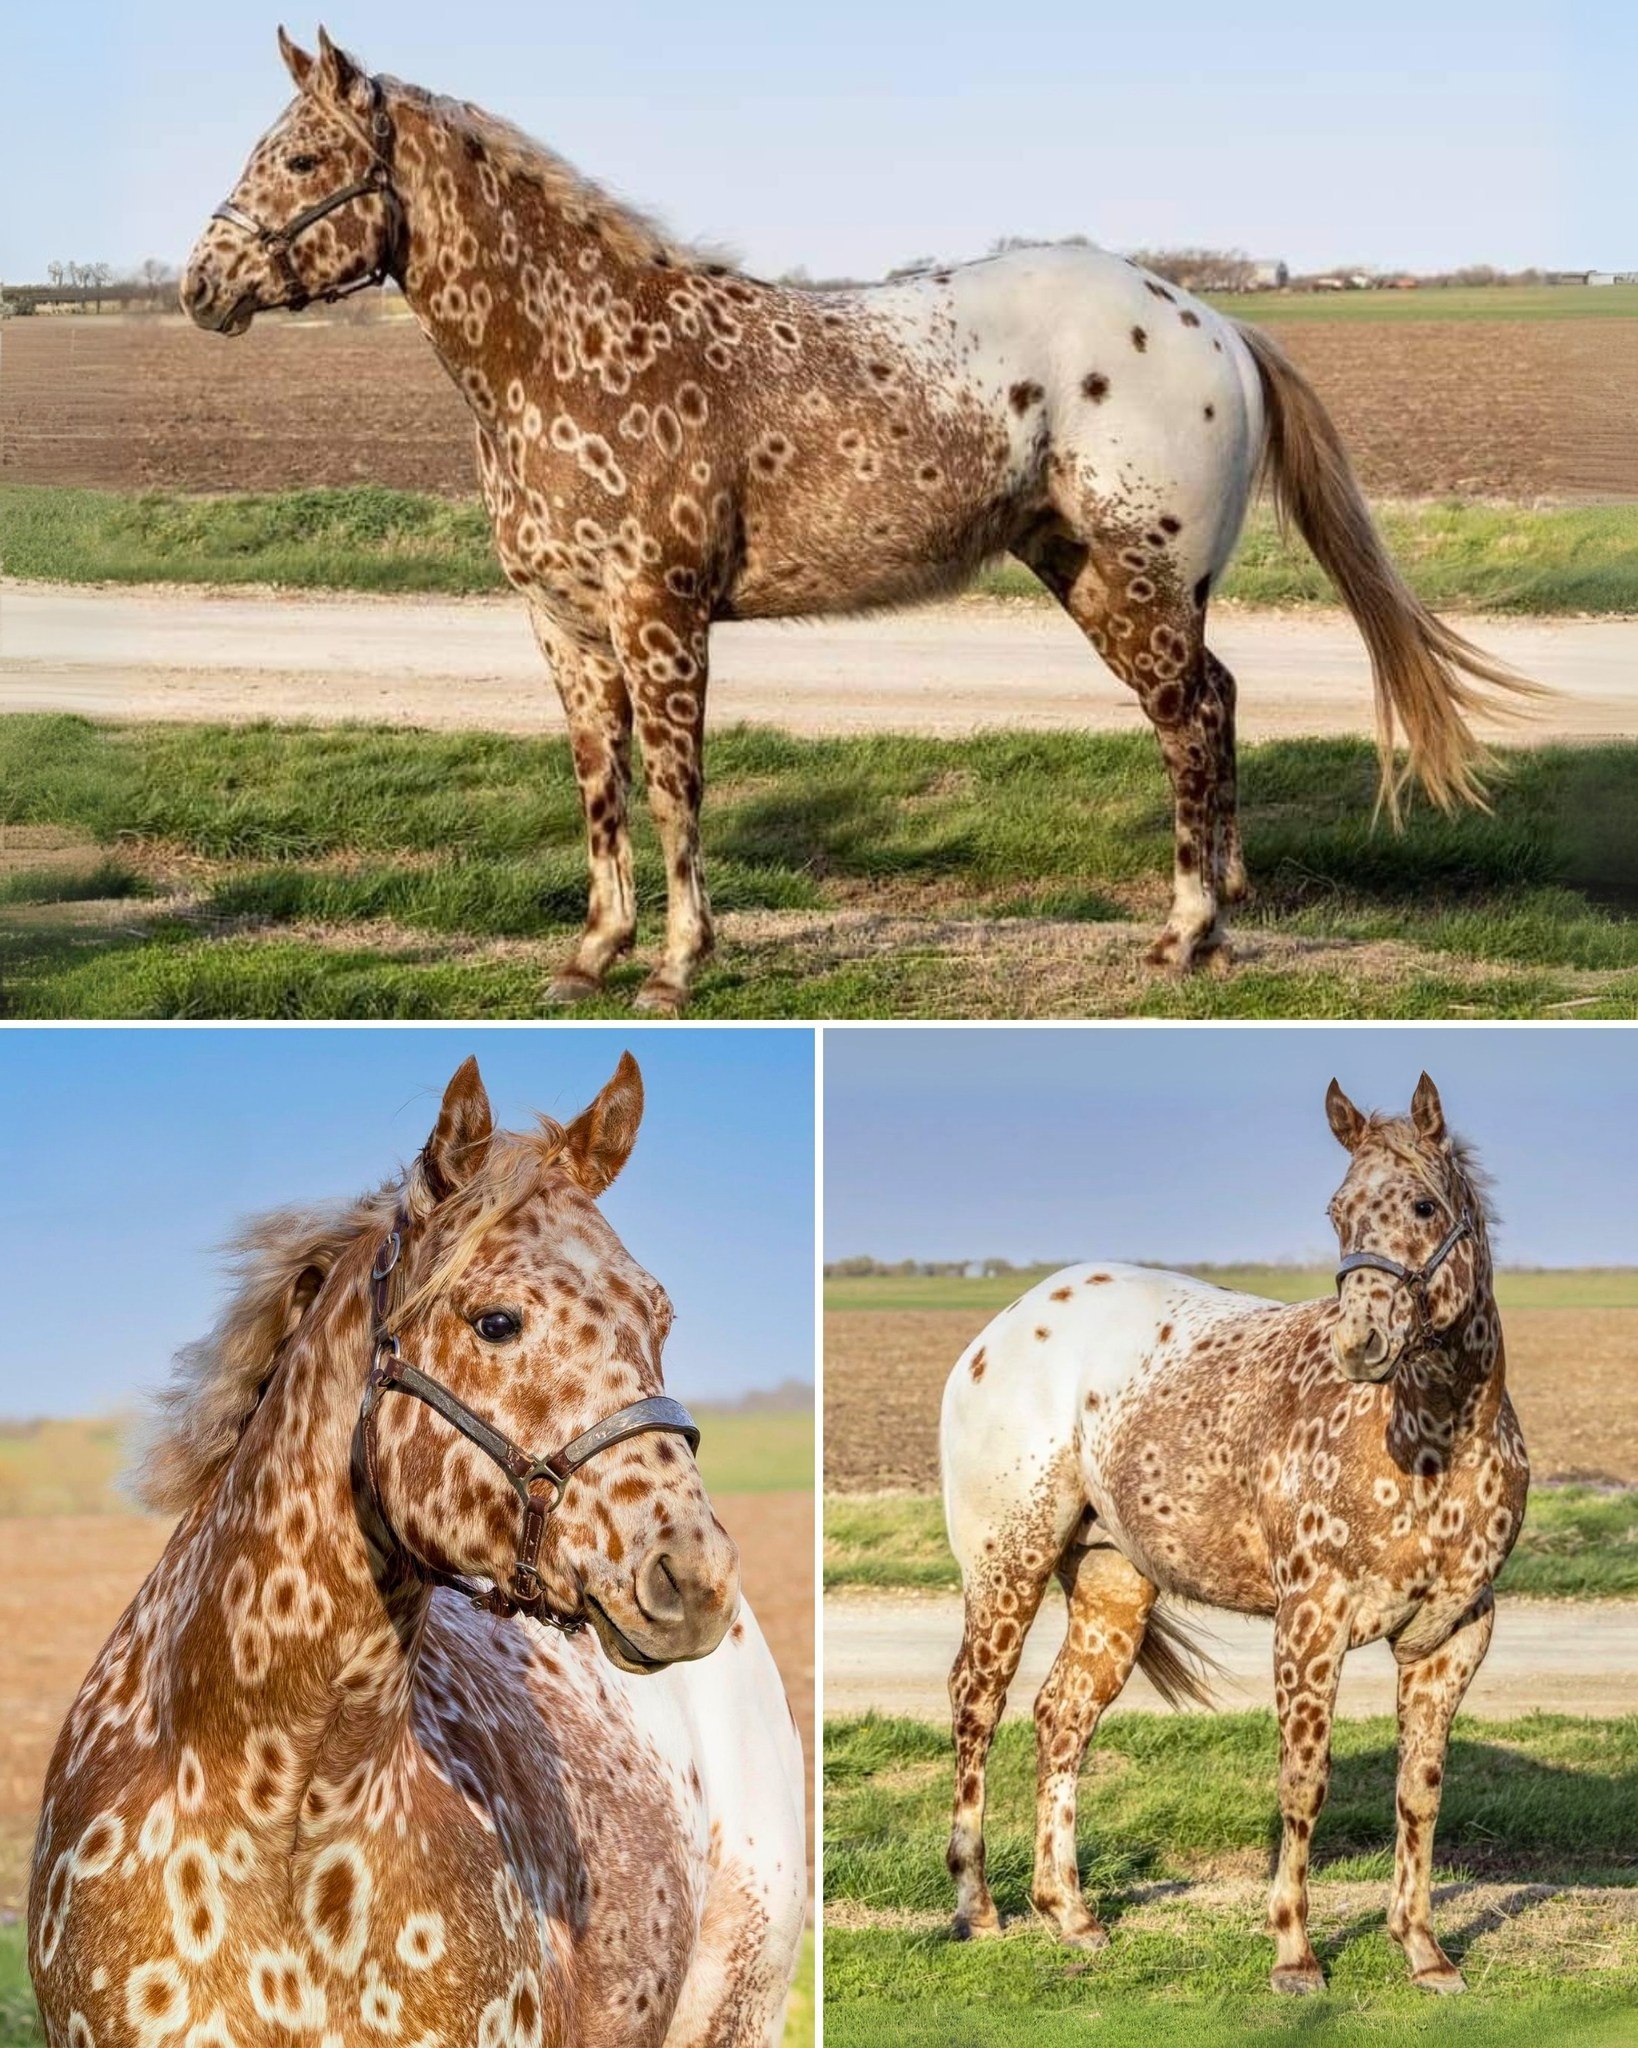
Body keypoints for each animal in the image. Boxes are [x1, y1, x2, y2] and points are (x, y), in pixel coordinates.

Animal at [180, 30, 1537, 1010]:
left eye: (300, 161)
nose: (201, 287)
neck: (571, 351)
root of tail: (1210, 319)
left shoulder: (660, 617)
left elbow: (674, 786)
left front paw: (678, 965)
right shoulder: (563, 628)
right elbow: (600, 785)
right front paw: (593, 953)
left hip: (1138, 583)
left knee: (1193, 721)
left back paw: (1186, 933)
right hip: (1110, 581)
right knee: (1211, 708)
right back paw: (1217, 921)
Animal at [939, 1072, 1528, 1994]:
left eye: (1425, 1206)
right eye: (1337, 1211)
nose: (1361, 1341)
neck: (1434, 1439)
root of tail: (998, 1336)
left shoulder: (1453, 1633)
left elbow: (1420, 1790)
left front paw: (1424, 1951)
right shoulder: (1311, 1619)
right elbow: (1304, 1782)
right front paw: (1294, 1953)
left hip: (1111, 1584)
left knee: (1060, 1716)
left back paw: (1070, 1914)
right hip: (1009, 1568)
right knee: (978, 1703)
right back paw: (978, 1907)